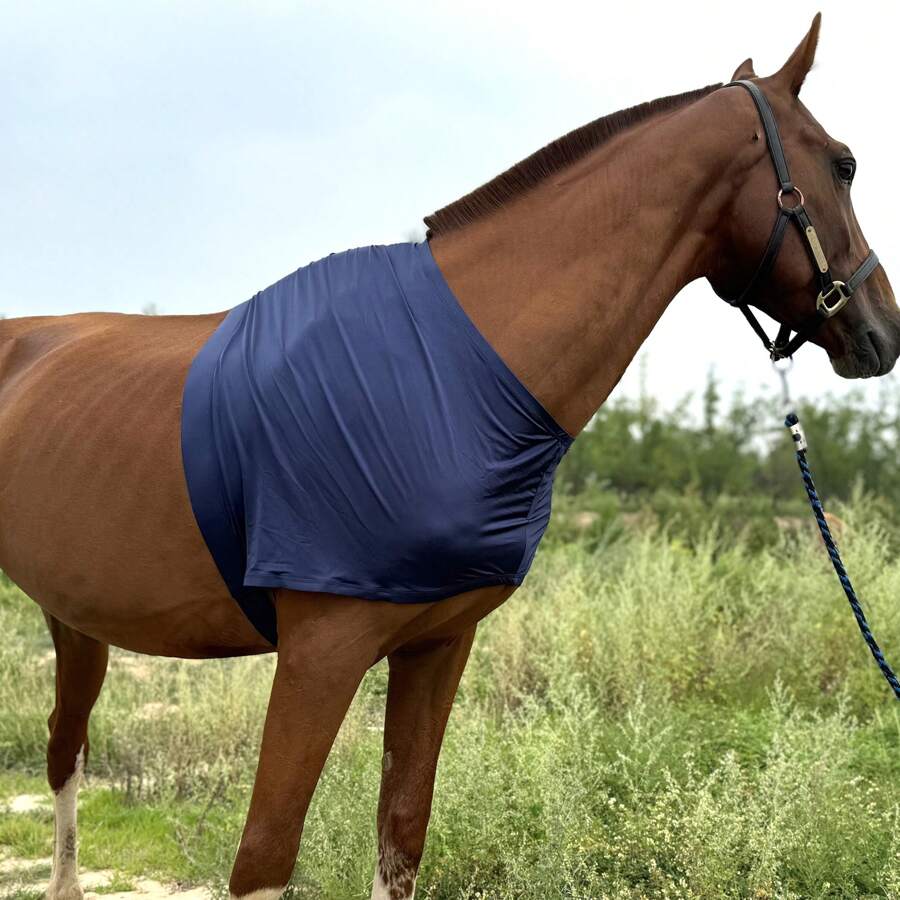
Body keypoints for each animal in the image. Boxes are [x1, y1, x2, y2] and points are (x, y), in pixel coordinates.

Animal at [1, 13, 896, 900]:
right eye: (845, 163)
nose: (882, 331)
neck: (445, 382)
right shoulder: (319, 654)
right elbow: (265, 855)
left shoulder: (436, 645)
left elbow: (400, 837)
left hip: (75, 616)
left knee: (65, 749)